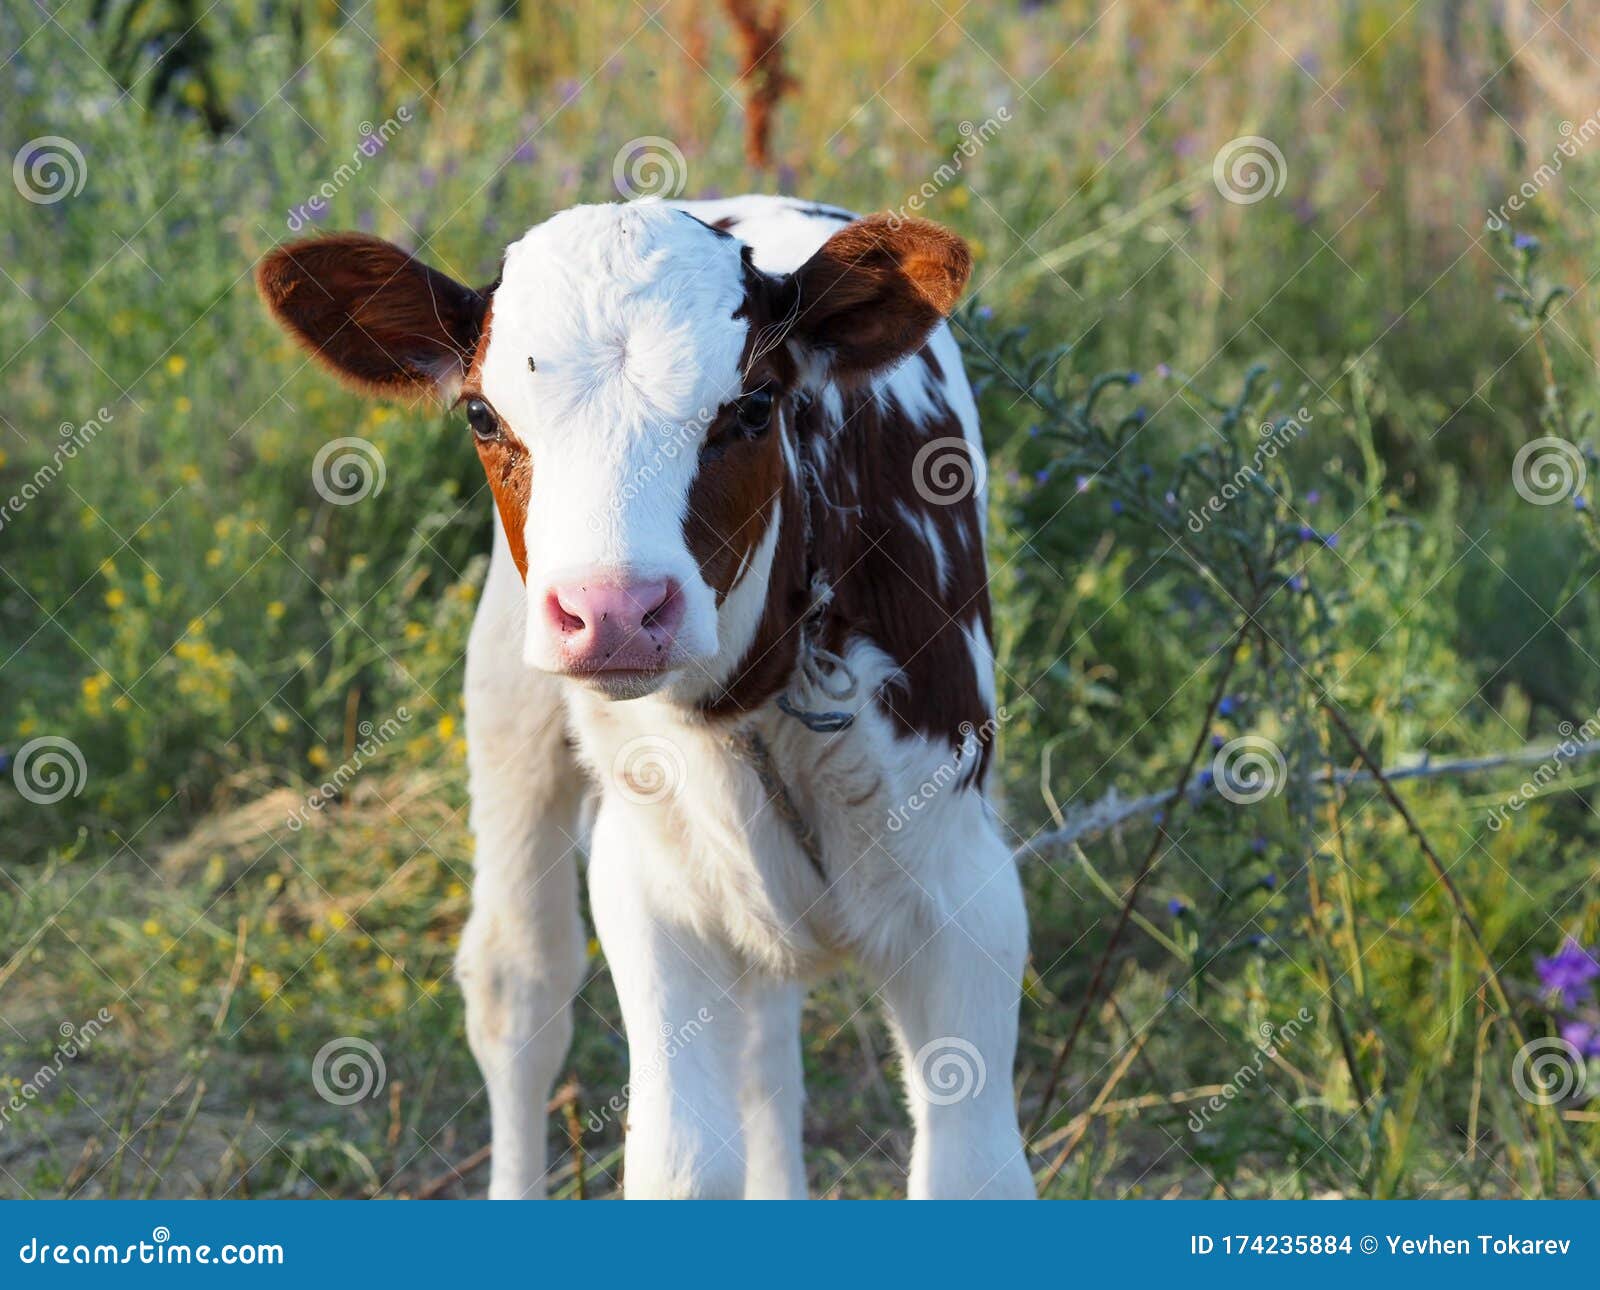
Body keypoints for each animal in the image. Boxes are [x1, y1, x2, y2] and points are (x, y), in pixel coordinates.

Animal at [255, 193, 1033, 1199]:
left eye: (753, 405)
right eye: (481, 414)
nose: (615, 611)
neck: (745, 702)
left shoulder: (967, 892)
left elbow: (970, 1171)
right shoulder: (649, 891)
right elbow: (681, 1159)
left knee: (762, 1051)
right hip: (508, 701)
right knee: (520, 988)